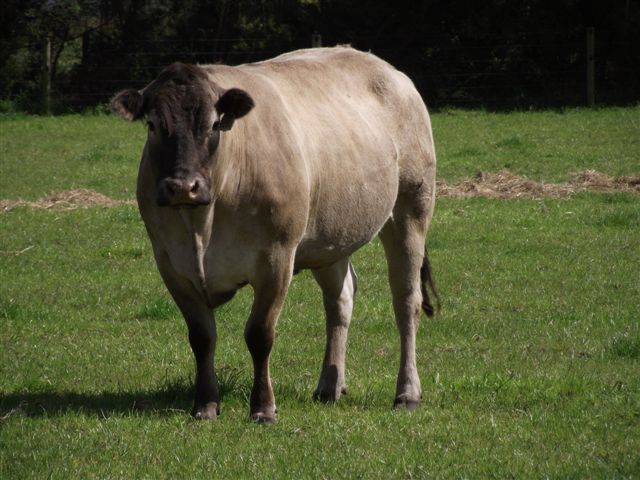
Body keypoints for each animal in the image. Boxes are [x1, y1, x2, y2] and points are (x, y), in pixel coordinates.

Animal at [112, 46, 438, 423]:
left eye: (214, 124)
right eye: (152, 125)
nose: (183, 187)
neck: (201, 226)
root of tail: (388, 69)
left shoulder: (277, 257)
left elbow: (260, 334)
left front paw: (263, 407)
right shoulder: (170, 263)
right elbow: (202, 336)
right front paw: (205, 405)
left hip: (410, 209)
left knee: (406, 302)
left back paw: (407, 392)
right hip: (331, 237)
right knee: (340, 300)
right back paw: (329, 385)